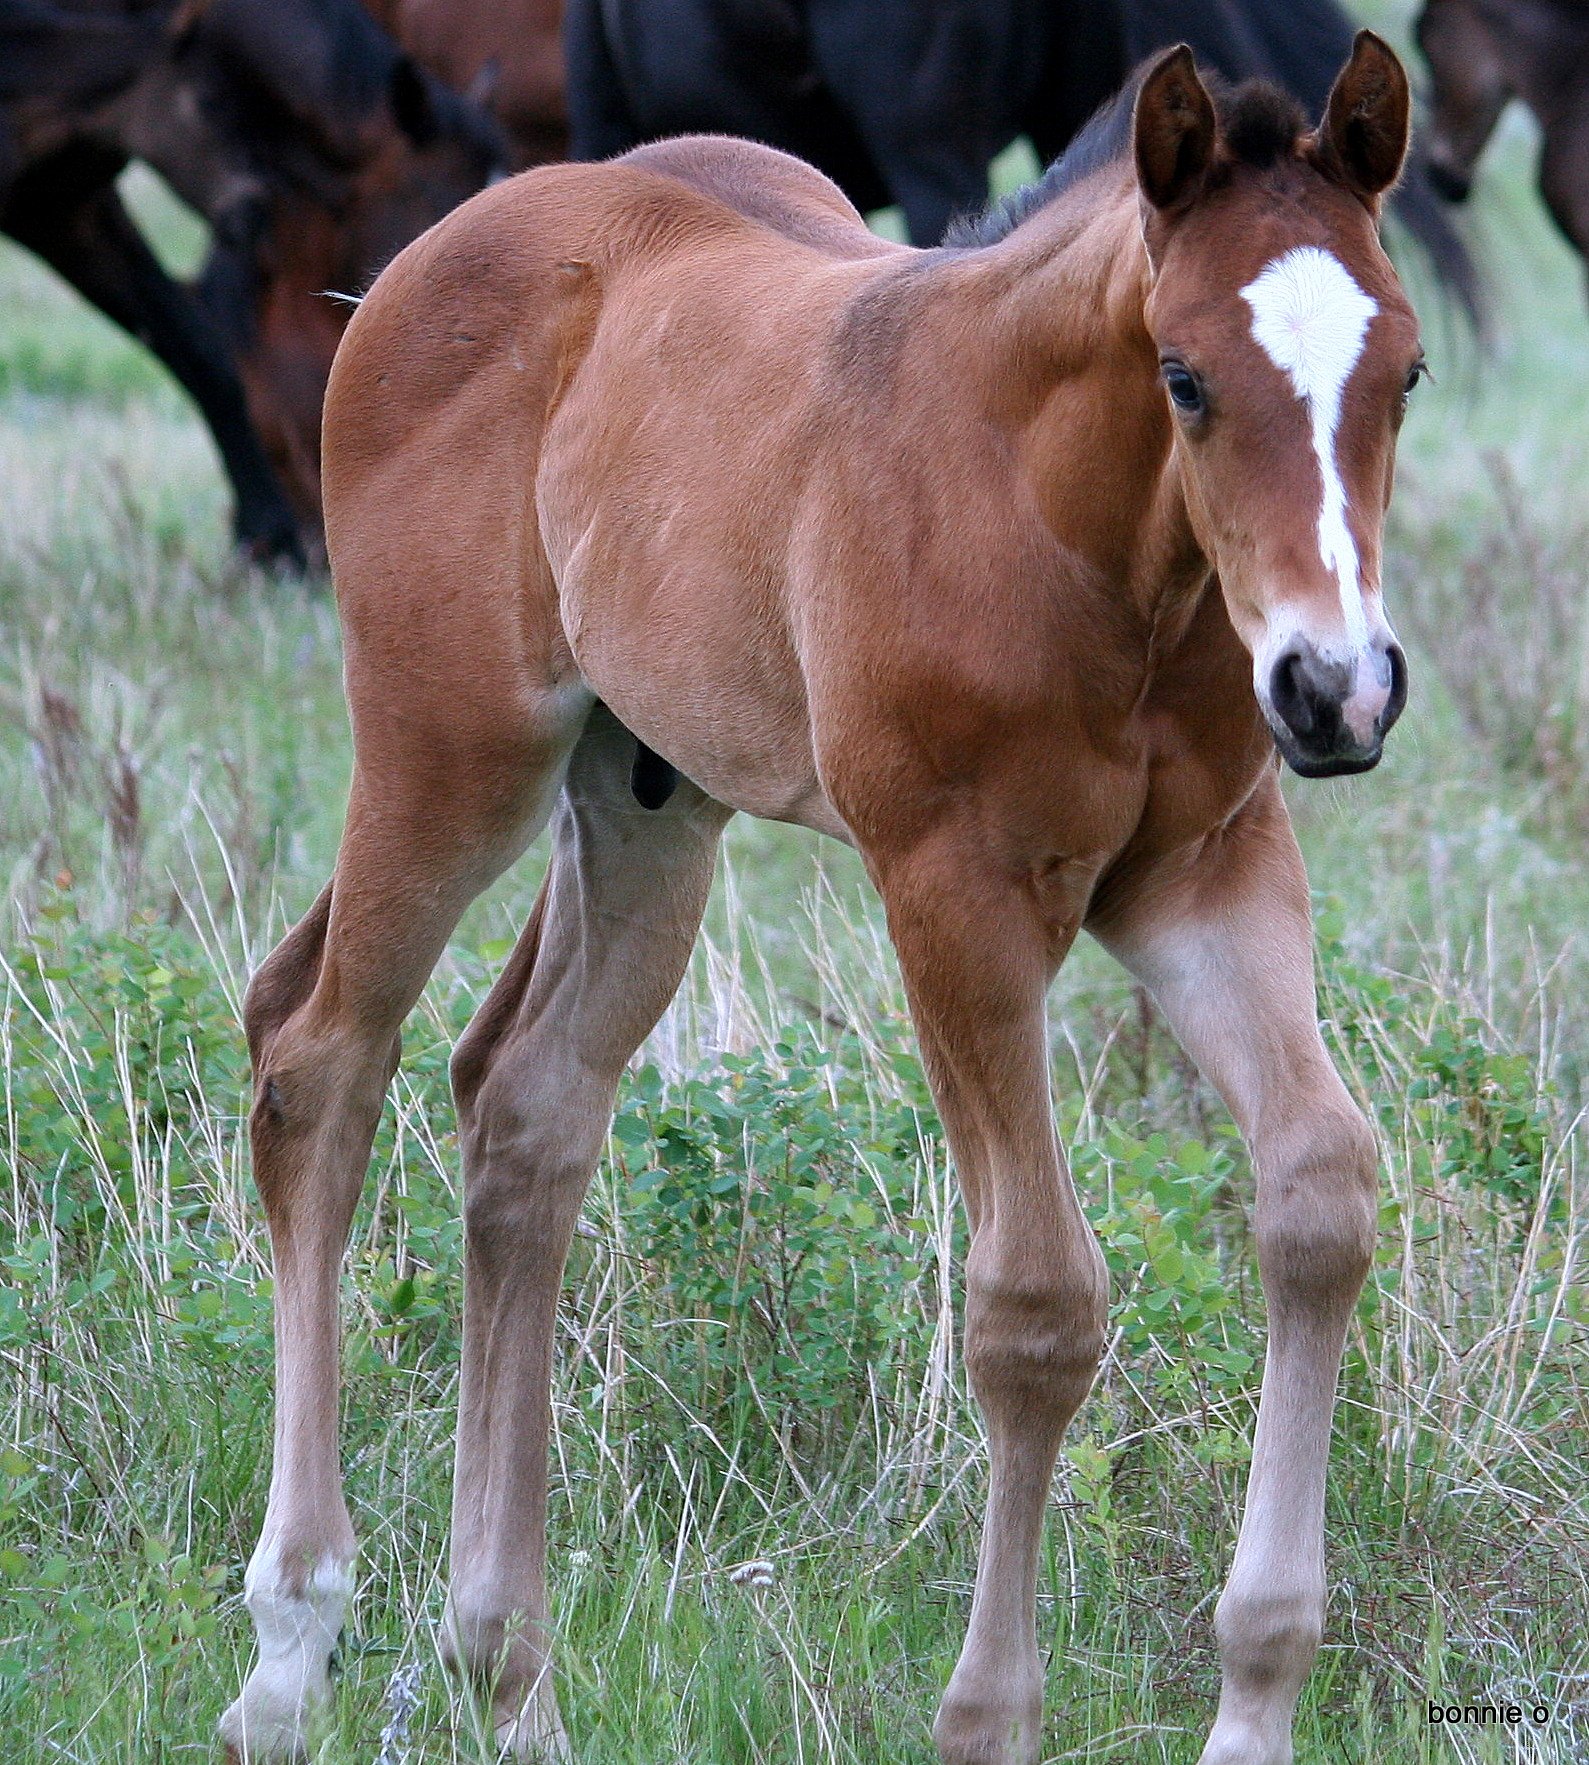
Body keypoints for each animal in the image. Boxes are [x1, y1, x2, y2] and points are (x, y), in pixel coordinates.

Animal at [223, 31, 1424, 1765]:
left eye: (1403, 376)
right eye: (1184, 377)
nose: (1337, 689)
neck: (1072, 526)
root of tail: (419, 261)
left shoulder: (1205, 872)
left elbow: (1321, 1193)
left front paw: (1255, 1699)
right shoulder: (950, 889)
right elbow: (1036, 1302)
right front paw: (987, 1713)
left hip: (644, 793)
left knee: (524, 1105)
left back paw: (507, 1673)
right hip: (452, 754)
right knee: (320, 1060)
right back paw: (290, 1639)